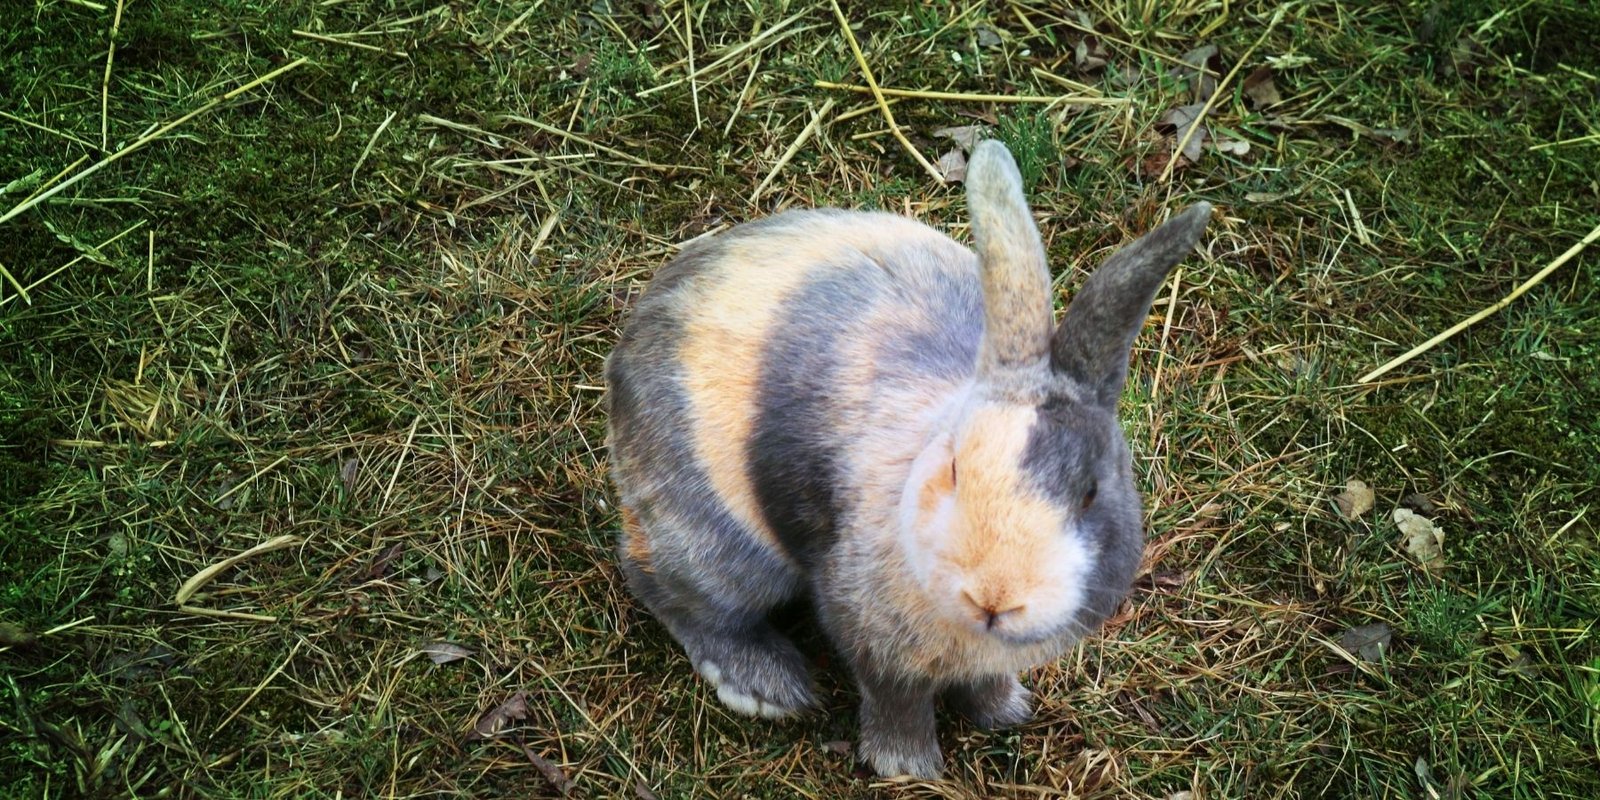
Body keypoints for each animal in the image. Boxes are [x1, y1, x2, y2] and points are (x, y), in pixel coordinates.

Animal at [604, 139, 1211, 779]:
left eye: (1091, 492)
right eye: (954, 467)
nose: (993, 597)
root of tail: (632, 341)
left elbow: (985, 683)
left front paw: (1005, 713)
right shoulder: (870, 633)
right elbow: (896, 700)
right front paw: (907, 767)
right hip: (720, 542)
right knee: (669, 589)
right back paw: (768, 687)